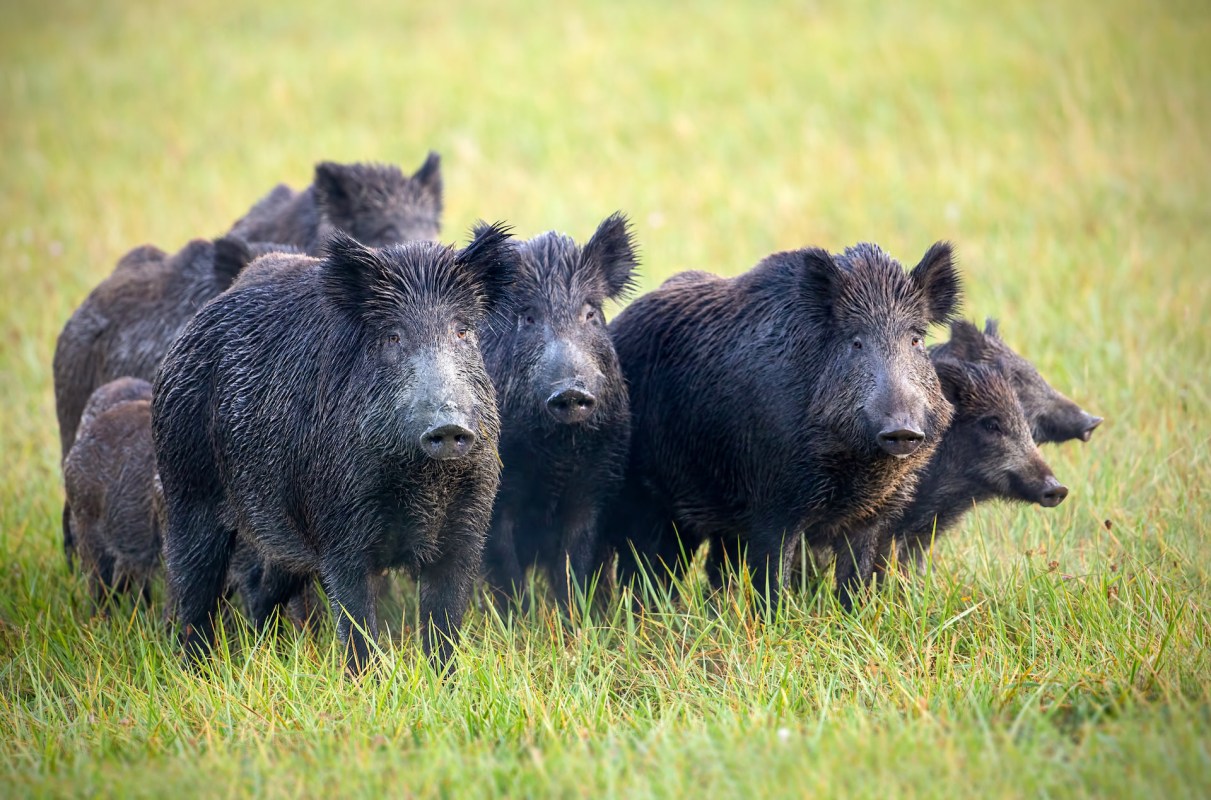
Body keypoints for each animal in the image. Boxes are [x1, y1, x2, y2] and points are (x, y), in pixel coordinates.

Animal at [152, 225, 517, 675]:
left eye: (463, 332)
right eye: (392, 336)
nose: (448, 426)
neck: (423, 481)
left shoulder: (467, 528)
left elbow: (444, 625)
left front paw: (443, 681)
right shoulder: (340, 530)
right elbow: (358, 625)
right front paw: (369, 682)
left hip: (276, 531)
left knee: (262, 589)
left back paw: (265, 652)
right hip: (187, 490)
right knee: (193, 590)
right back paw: (196, 670)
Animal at [479, 213, 638, 610]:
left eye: (591, 313)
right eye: (528, 317)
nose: (571, 390)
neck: (558, 453)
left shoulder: (597, 485)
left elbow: (575, 563)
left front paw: (577, 618)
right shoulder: (498, 496)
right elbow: (505, 568)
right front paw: (520, 620)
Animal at [605, 241, 961, 610]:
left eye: (916, 340)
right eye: (856, 341)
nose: (902, 430)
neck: (856, 466)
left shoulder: (871, 516)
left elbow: (854, 582)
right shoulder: (773, 505)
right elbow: (773, 581)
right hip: (645, 499)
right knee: (646, 568)